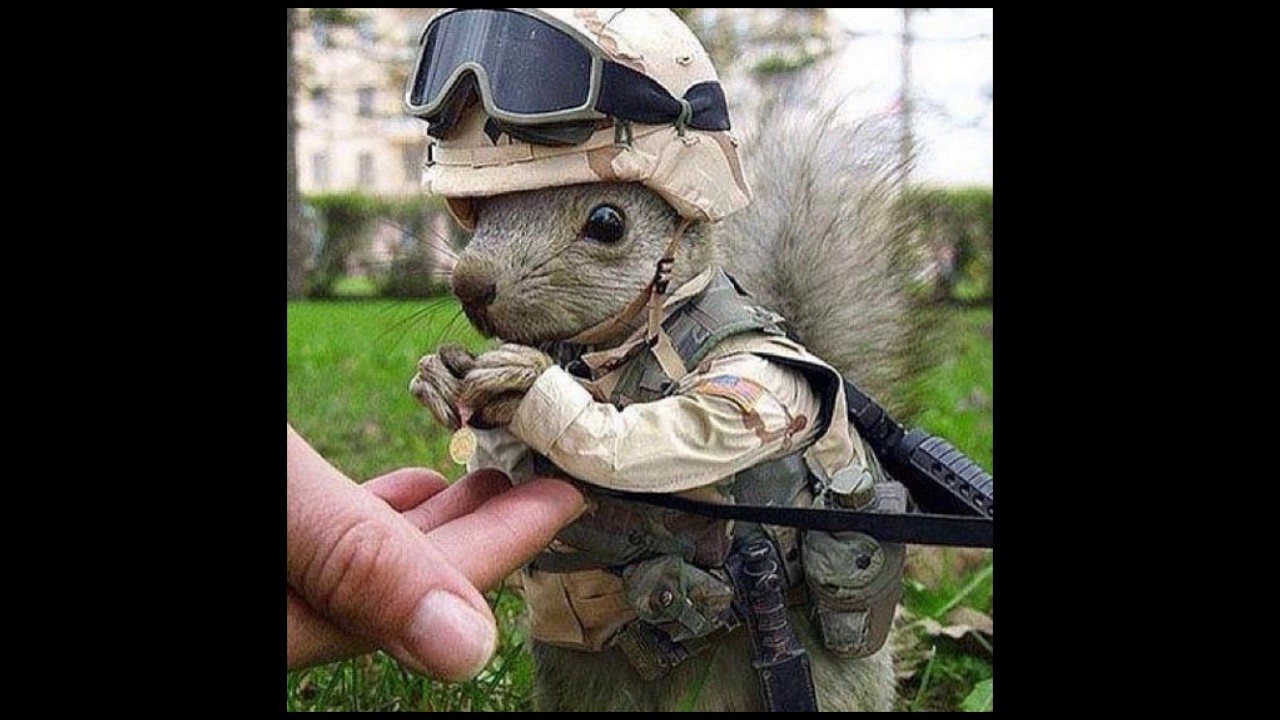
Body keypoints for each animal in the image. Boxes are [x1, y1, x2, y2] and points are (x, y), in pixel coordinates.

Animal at [404, 8, 937, 713]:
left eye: (607, 221)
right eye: (482, 211)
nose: (469, 284)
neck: (613, 351)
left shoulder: (759, 373)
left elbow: (675, 438)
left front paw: (524, 383)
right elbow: (505, 474)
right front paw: (440, 375)